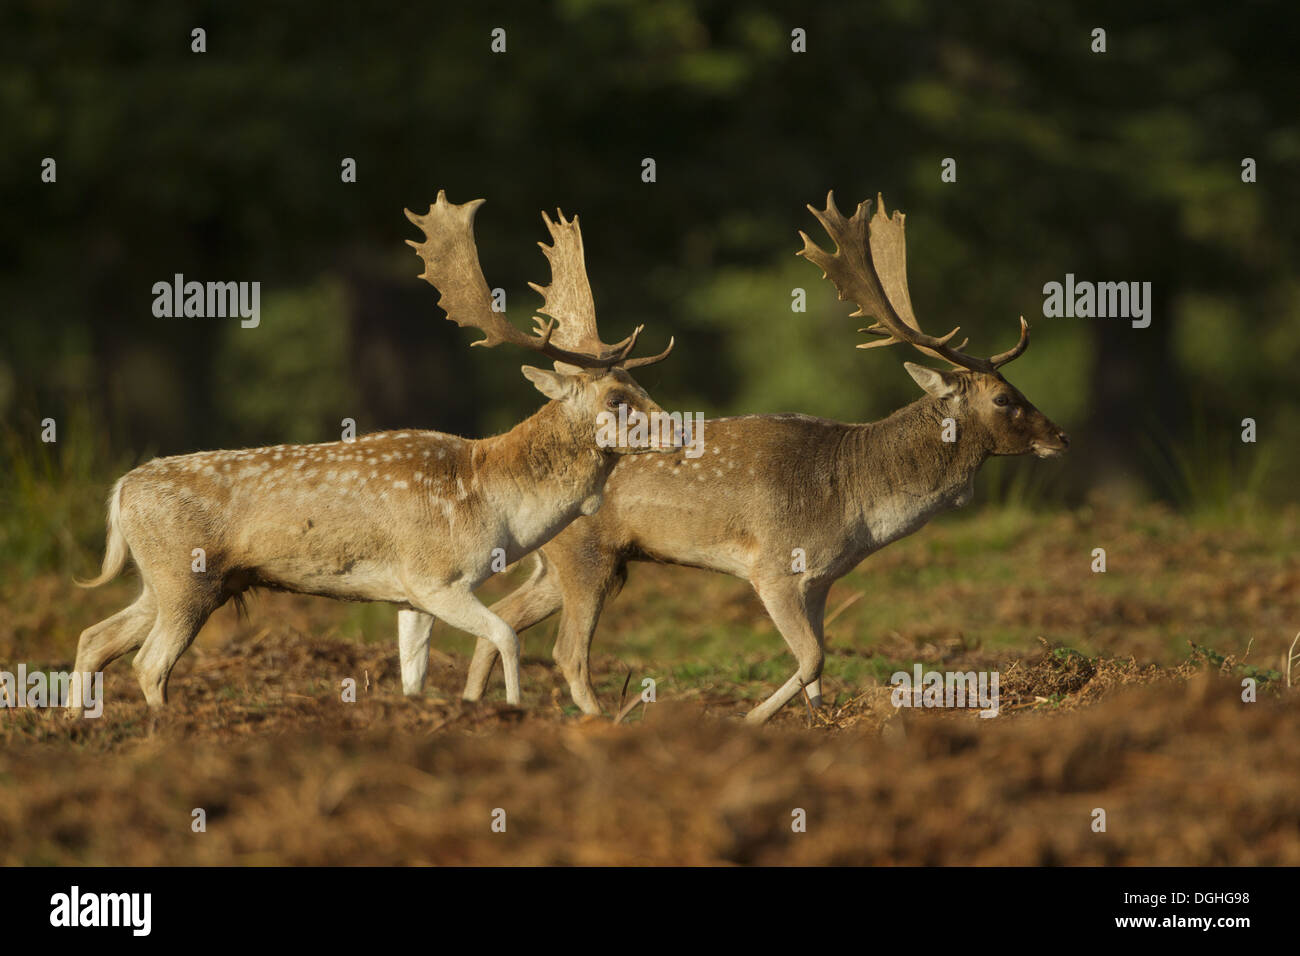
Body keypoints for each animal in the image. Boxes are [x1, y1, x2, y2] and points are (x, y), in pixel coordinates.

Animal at [69, 191, 675, 715]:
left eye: (640, 385)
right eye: (617, 397)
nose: (680, 428)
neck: (494, 501)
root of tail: (121, 490)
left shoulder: (409, 597)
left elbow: (414, 675)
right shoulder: (437, 576)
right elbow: (506, 635)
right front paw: (510, 708)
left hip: (164, 581)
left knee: (94, 636)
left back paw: (72, 724)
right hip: (184, 577)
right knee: (148, 663)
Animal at [438, 192, 1070, 724]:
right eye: (1004, 398)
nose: (1060, 436)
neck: (857, 504)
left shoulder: (822, 580)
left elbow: (820, 671)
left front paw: (820, 725)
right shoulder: (774, 567)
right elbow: (812, 660)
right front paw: (750, 720)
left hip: (558, 563)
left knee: (505, 620)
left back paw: (475, 711)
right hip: (587, 556)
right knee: (568, 653)